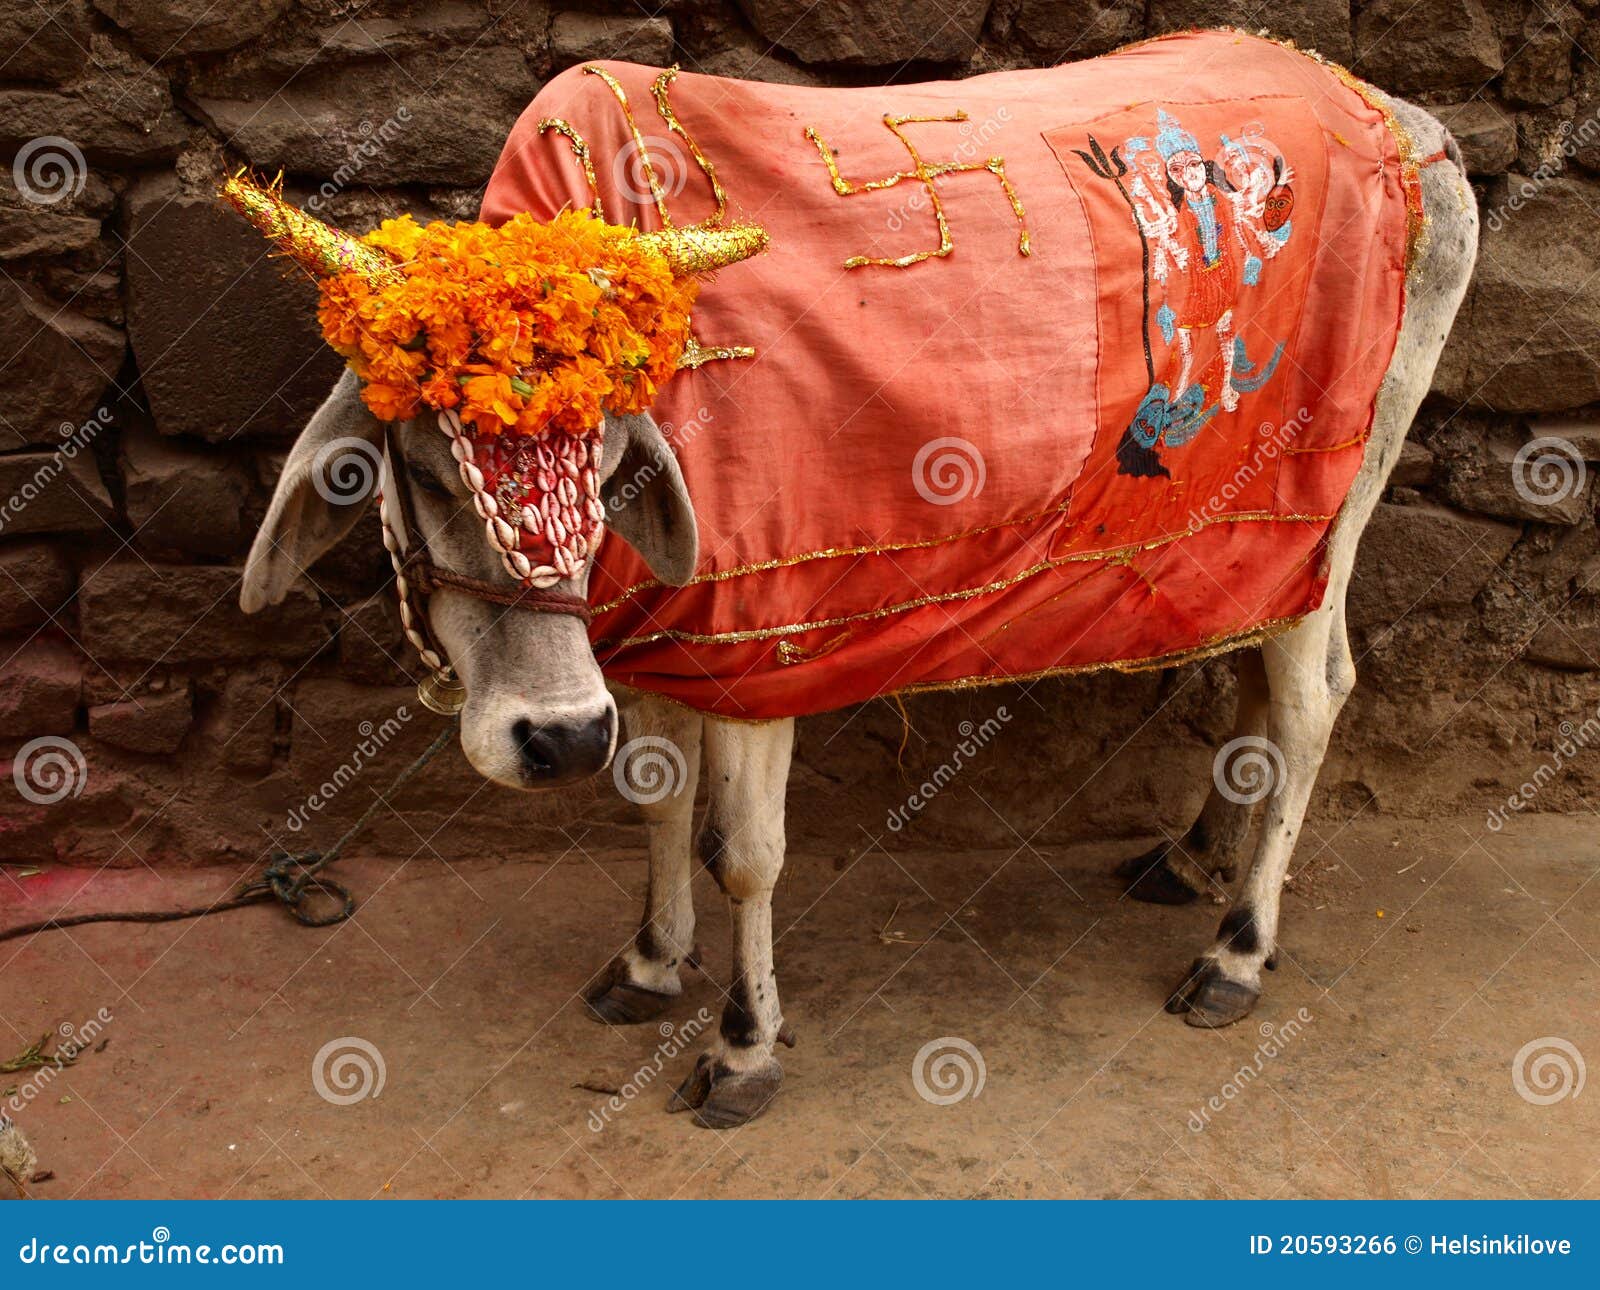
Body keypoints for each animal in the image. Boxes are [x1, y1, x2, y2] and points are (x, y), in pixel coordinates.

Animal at [239, 31, 1479, 1128]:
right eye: (424, 466)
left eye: (608, 465)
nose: (555, 739)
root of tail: (1396, 116)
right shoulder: (647, 652)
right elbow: (654, 796)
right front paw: (649, 963)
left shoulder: (760, 650)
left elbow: (745, 857)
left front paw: (743, 1048)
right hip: (1245, 554)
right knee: (1255, 685)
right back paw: (1190, 860)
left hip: (1329, 514)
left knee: (1312, 702)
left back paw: (1236, 951)